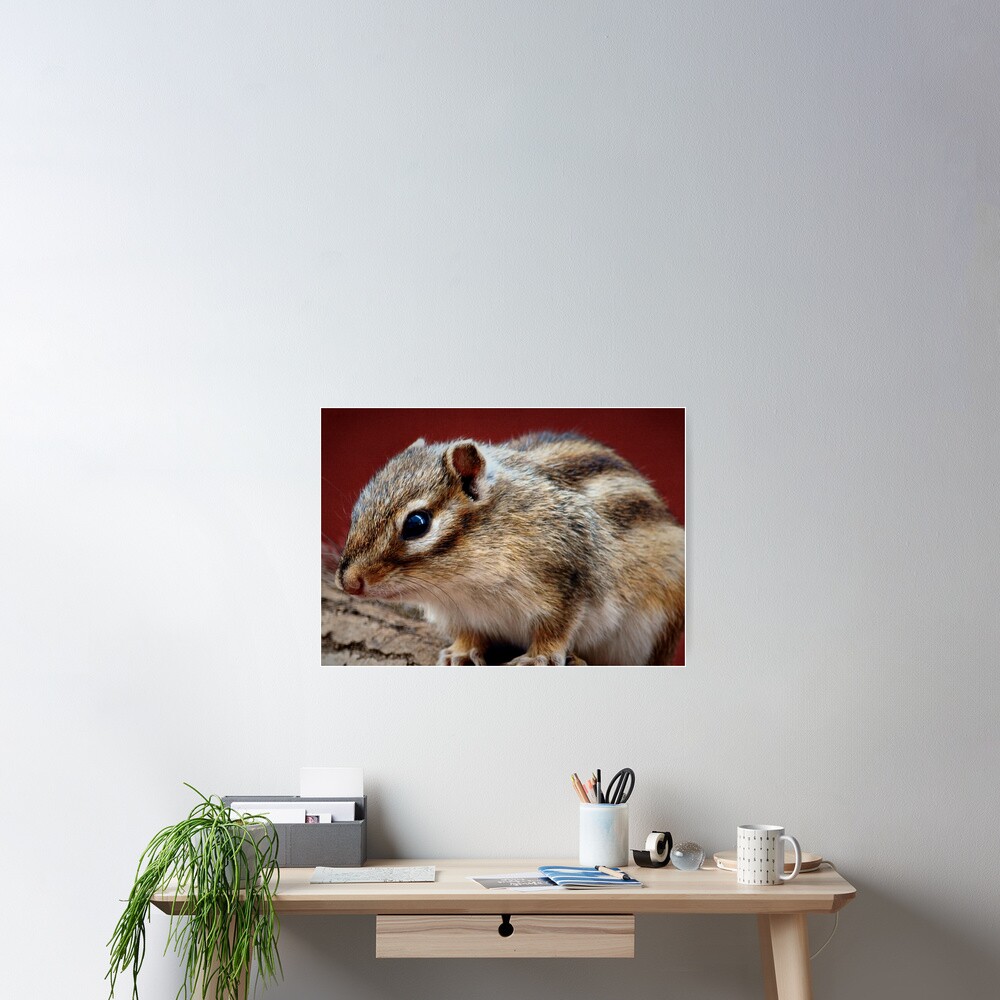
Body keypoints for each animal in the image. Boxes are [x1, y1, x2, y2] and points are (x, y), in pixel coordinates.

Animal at [335, 431, 685, 665]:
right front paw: (459, 652)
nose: (348, 583)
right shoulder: (462, 614)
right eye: (356, 511)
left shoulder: (568, 583)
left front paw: (539, 657)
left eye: (417, 523)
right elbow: (468, 634)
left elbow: (556, 629)